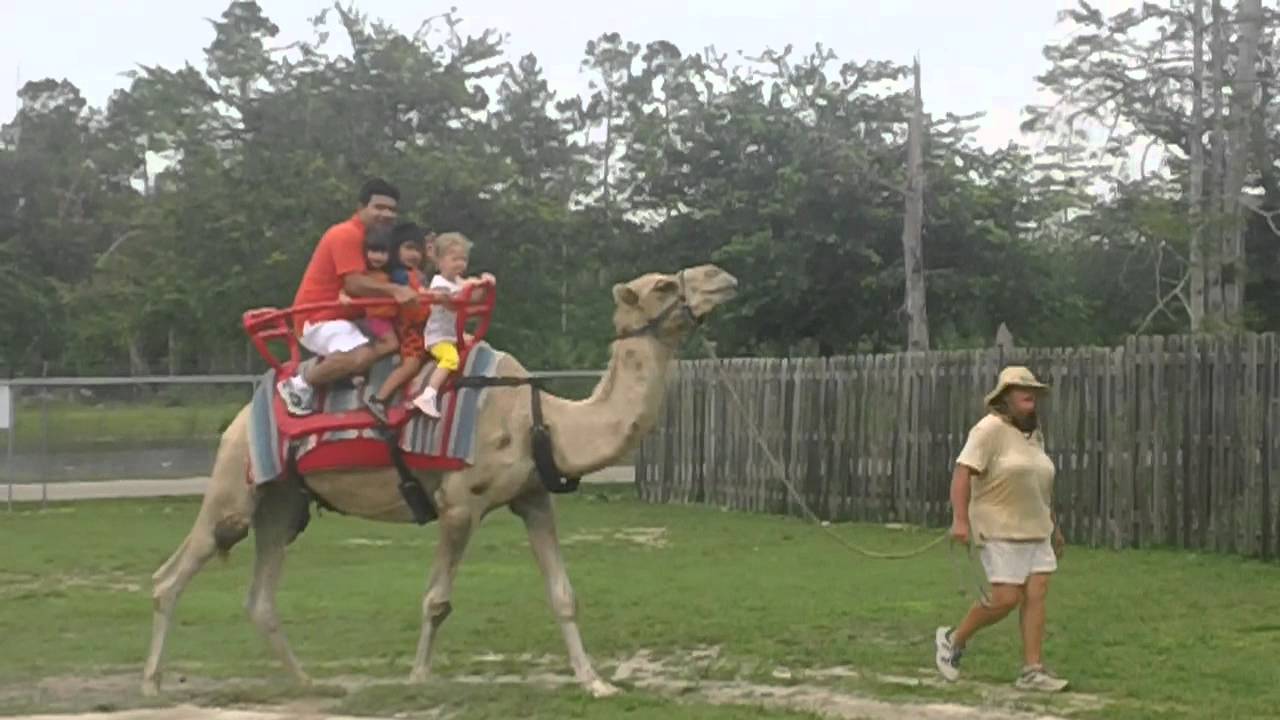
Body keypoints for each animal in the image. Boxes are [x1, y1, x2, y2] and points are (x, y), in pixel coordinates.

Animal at [141, 264, 738, 699]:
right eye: (664, 284)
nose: (722, 276)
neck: (541, 417)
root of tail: (239, 418)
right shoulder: (460, 504)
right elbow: (437, 600)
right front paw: (418, 679)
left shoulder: (533, 497)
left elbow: (563, 595)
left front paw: (596, 683)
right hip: (235, 481)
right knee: (174, 574)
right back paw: (151, 684)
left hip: (284, 503)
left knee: (260, 594)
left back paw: (309, 682)